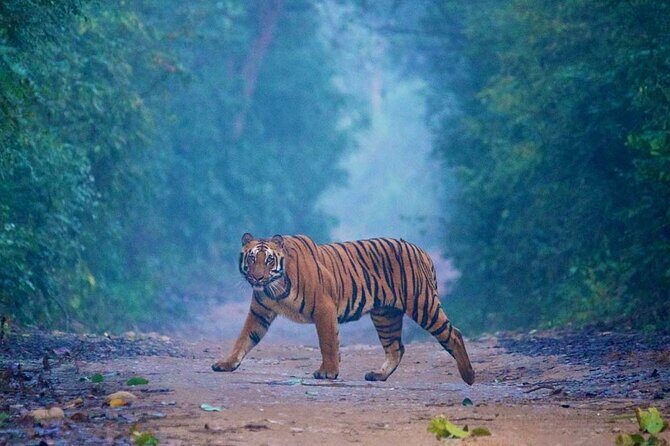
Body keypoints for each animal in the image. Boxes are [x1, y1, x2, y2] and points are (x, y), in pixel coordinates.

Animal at [212, 233, 475, 384]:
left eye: (268, 260)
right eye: (251, 258)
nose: (257, 278)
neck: (273, 287)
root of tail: (421, 250)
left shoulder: (324, 308)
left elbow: (328, 342)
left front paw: (328, 372)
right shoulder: (259, 312)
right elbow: (244, 339)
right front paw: (226, 364)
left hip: (422, 304)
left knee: (453, 333)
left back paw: (469, 376)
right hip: (385, 315)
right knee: (396, 348)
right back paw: (378, 375)